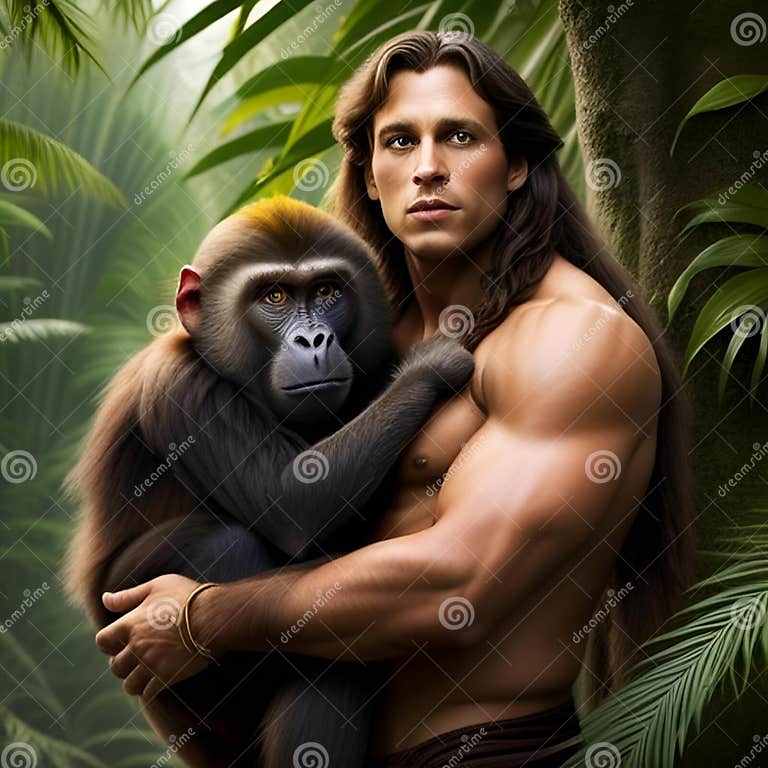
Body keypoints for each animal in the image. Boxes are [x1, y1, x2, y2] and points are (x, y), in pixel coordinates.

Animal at [62, 195, 475, 768]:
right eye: (274, 296)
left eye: (326, 291)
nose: (313, 339)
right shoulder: (180, 387)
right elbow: (291, 503)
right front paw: (427, 368)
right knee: (228, 548)